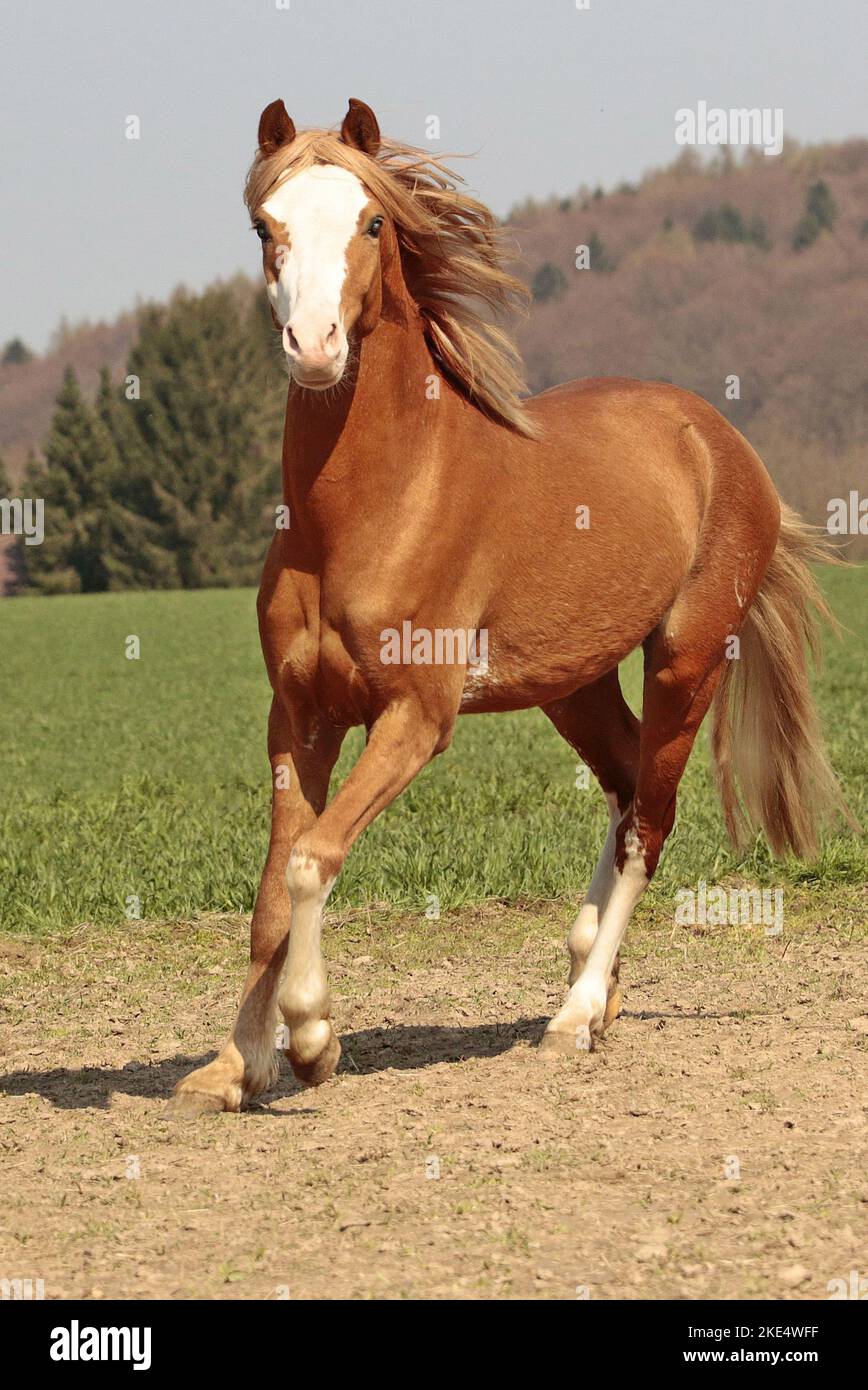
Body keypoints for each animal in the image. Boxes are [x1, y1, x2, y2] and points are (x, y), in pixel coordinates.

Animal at [170, 98, 850, 1115]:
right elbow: (268, 891)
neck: (366, 513)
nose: (317, 348)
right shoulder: (299, 718)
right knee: (623, 787)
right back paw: (593, 985)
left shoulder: (416, 719)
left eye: (372, 224)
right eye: (265, 226)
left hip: (686, 660)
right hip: (575, 684)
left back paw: (573, 1016)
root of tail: (720, 438)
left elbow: (312, 859)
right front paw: (232, 1066)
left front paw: (314, 1039)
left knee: (651, 820)